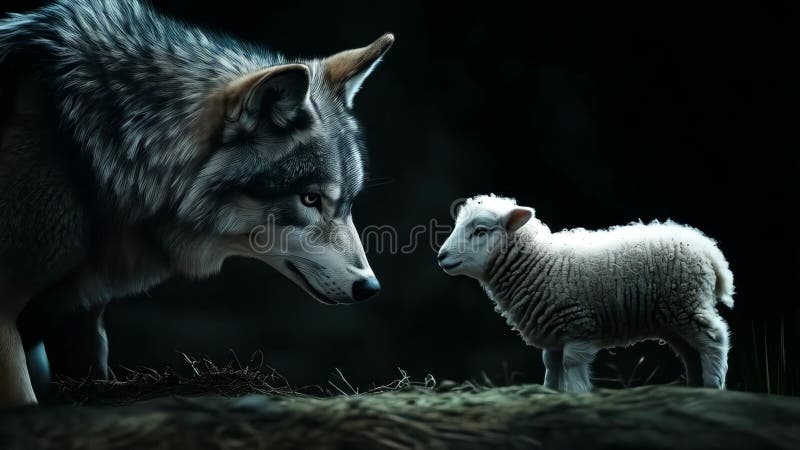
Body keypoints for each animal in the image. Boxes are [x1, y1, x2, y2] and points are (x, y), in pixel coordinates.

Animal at [437, 194, 734, 392]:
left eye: (480, 231)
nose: (441, 256)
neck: (540, 264)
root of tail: (709, 250)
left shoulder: (577, 328)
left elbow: (572, 370)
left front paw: (578, 397)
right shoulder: (553, 337)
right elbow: (551, 371)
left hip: (687, 304)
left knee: (714, 340)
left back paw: (713, 387)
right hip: (672, 316)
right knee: (691, 353)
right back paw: (695, 389)